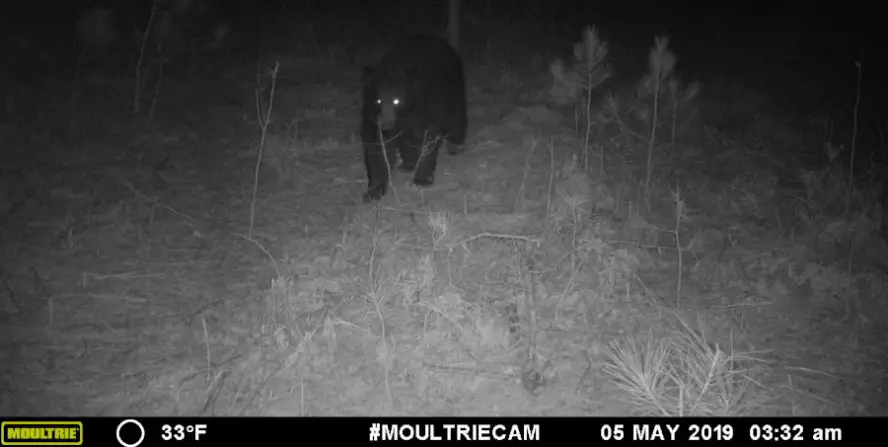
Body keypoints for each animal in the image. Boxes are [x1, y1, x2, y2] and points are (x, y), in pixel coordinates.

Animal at [360, 34, 468, 203]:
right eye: (378, 100)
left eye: (396, 100)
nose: (385, 125)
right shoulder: (371, 112)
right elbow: (376, 145)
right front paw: (374, 191)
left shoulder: (426, 105)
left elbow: (428, 136)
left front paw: (421, 180)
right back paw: (409, 164)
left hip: (454, 87)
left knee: (456, 117)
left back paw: (455, 145)